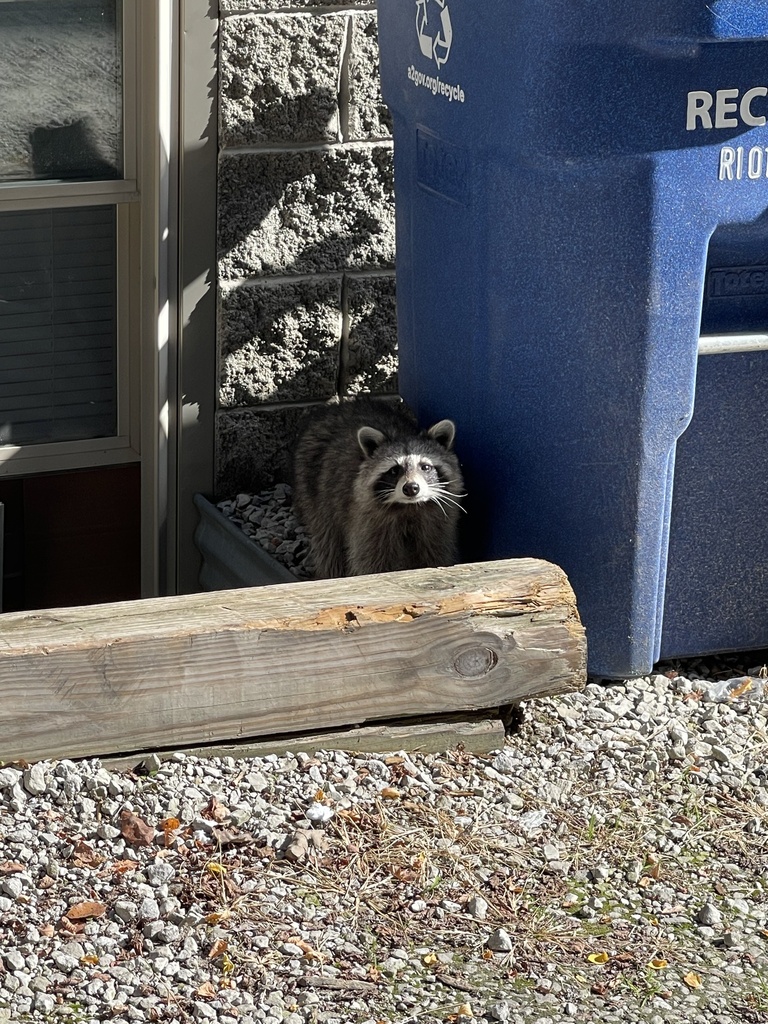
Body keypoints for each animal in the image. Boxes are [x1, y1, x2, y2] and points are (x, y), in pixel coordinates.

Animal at [292, 397, 465, 579]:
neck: (409, 508)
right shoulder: (368, 522)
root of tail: (338, 405)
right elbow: (371, 562)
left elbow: (435, 553)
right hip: (314, 491)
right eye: (394, 470)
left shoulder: (436, 523)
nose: (411, 488)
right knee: (329, 544)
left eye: (425, 467)